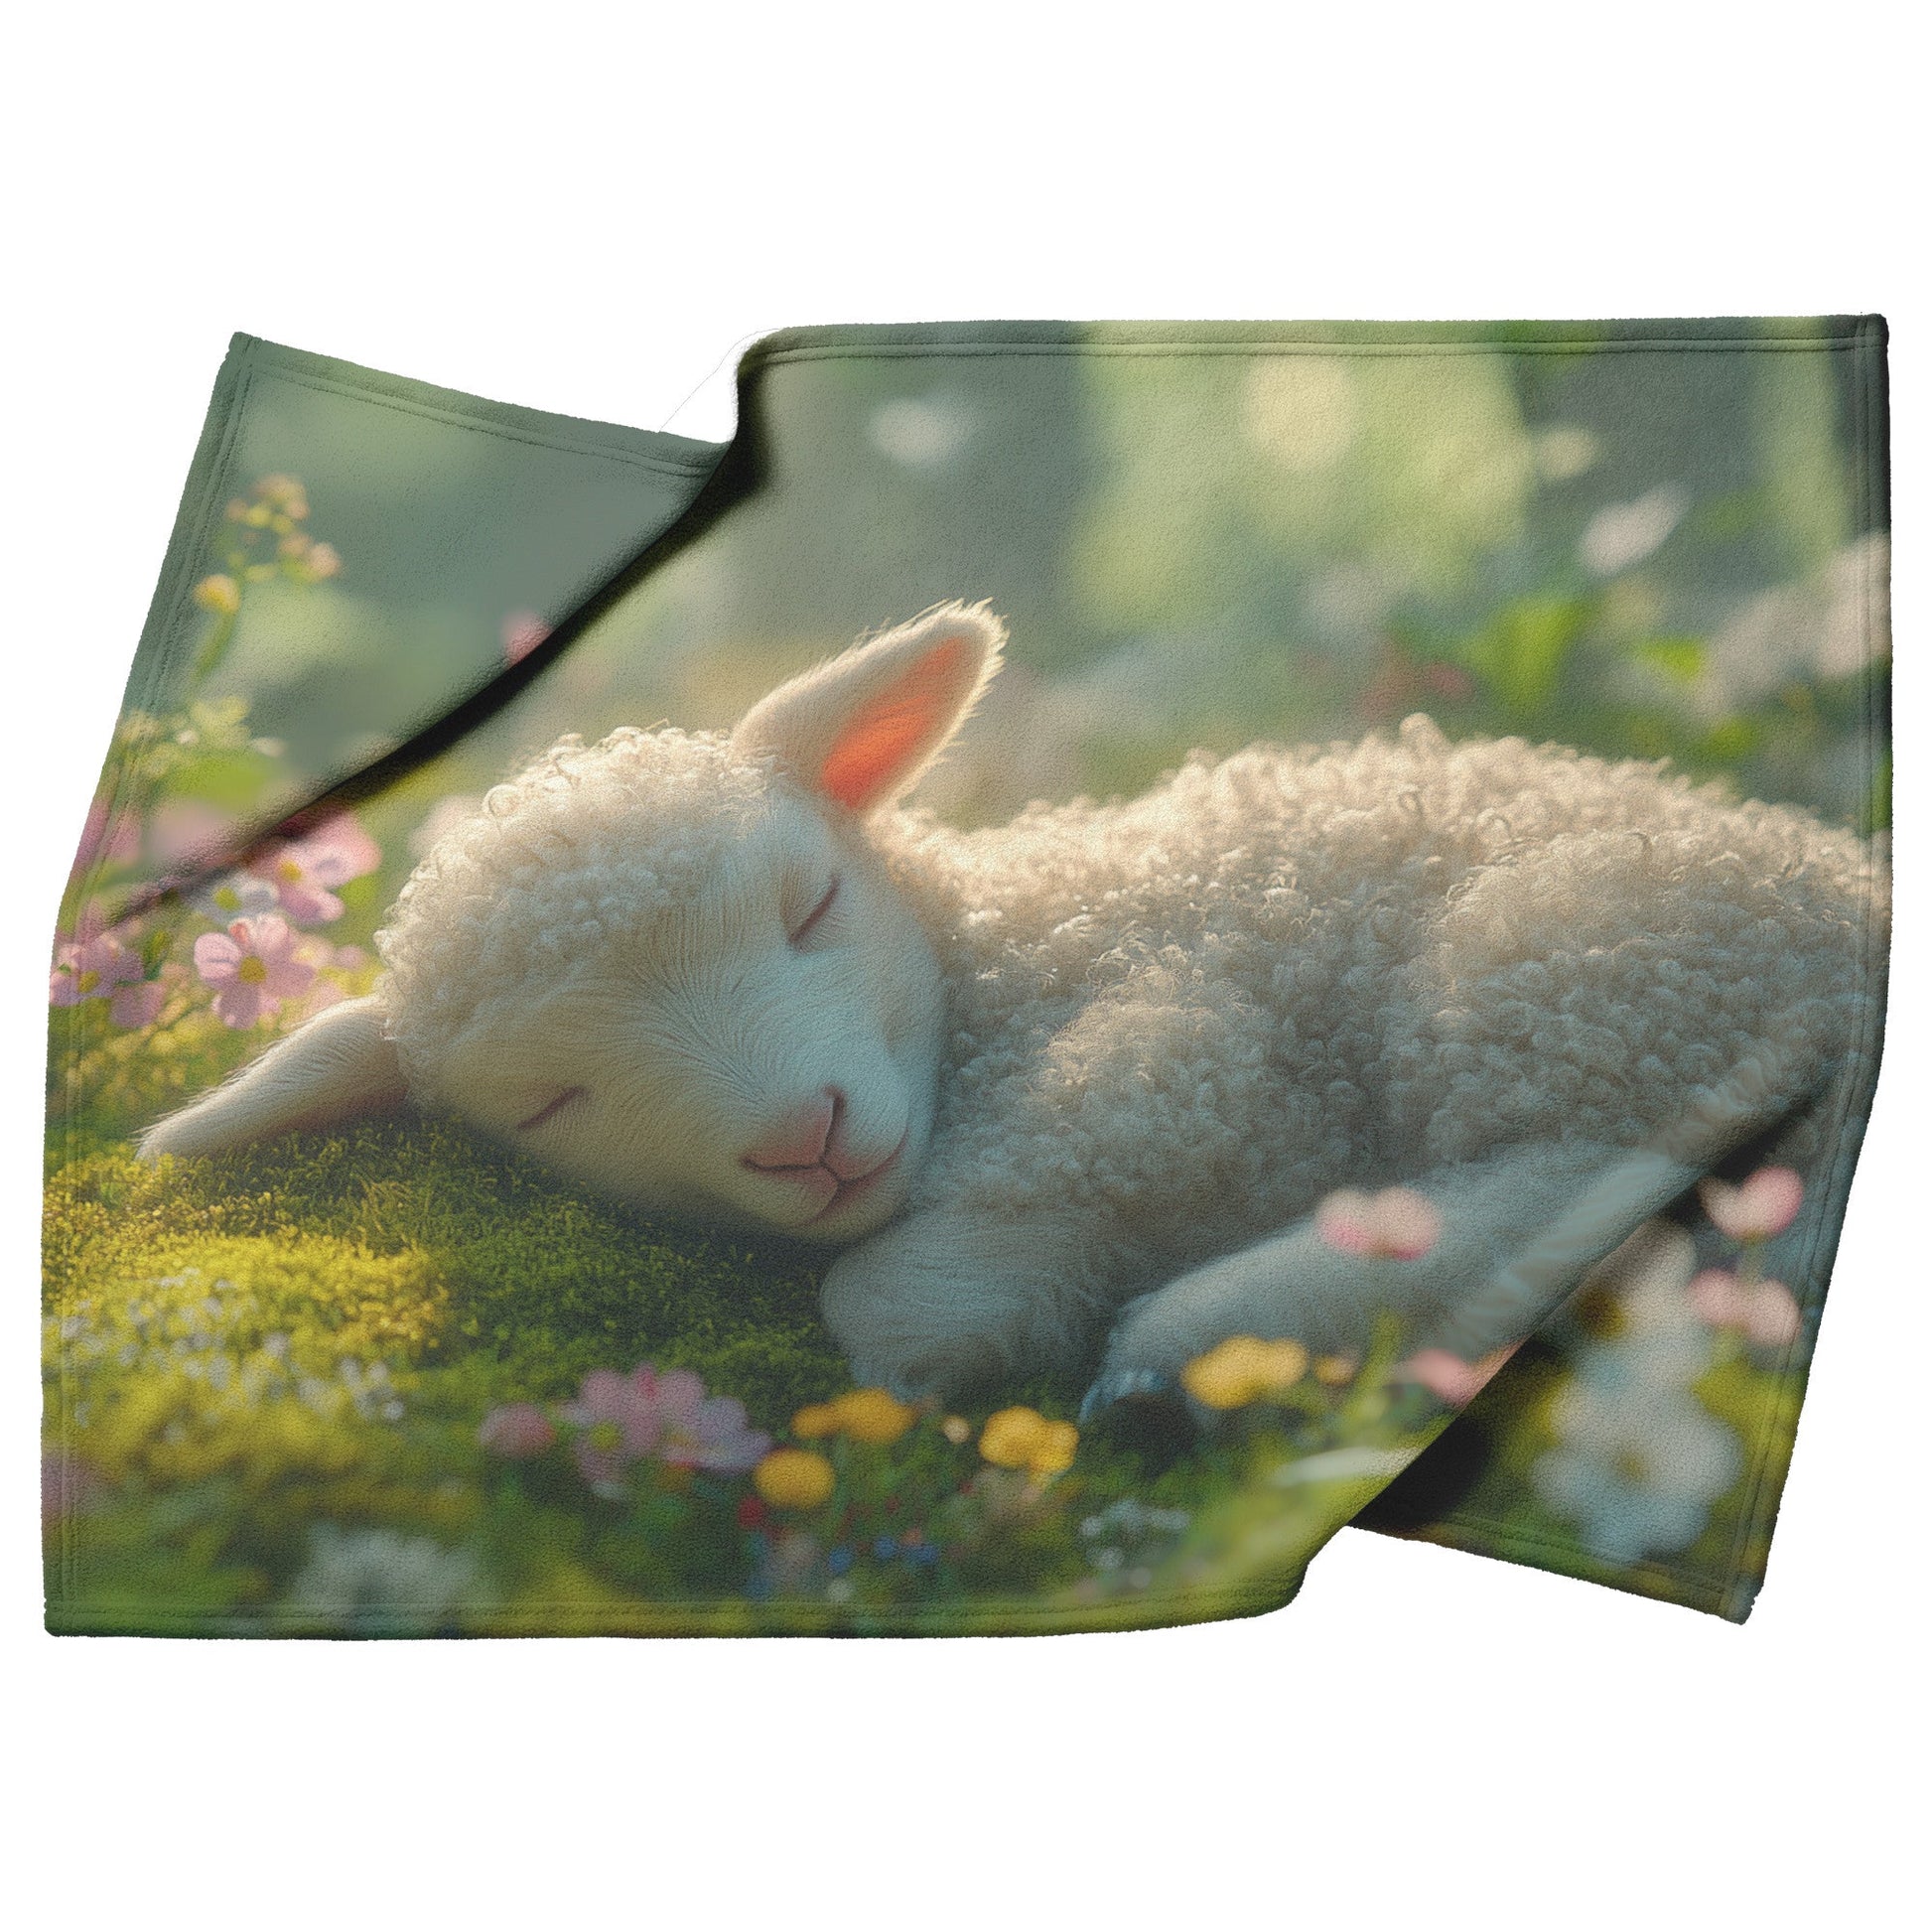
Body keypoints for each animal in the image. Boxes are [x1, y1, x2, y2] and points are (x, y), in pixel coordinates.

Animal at [139, 602, 1886, 1410]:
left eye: (808, 902)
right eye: (546, 1101)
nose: (804, 1135)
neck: (1005, 940)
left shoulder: (1181, 1052)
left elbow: (892, 1303)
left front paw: (982, 1327)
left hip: (1566, 958)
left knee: (1618, 1156)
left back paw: (1215, 1336)